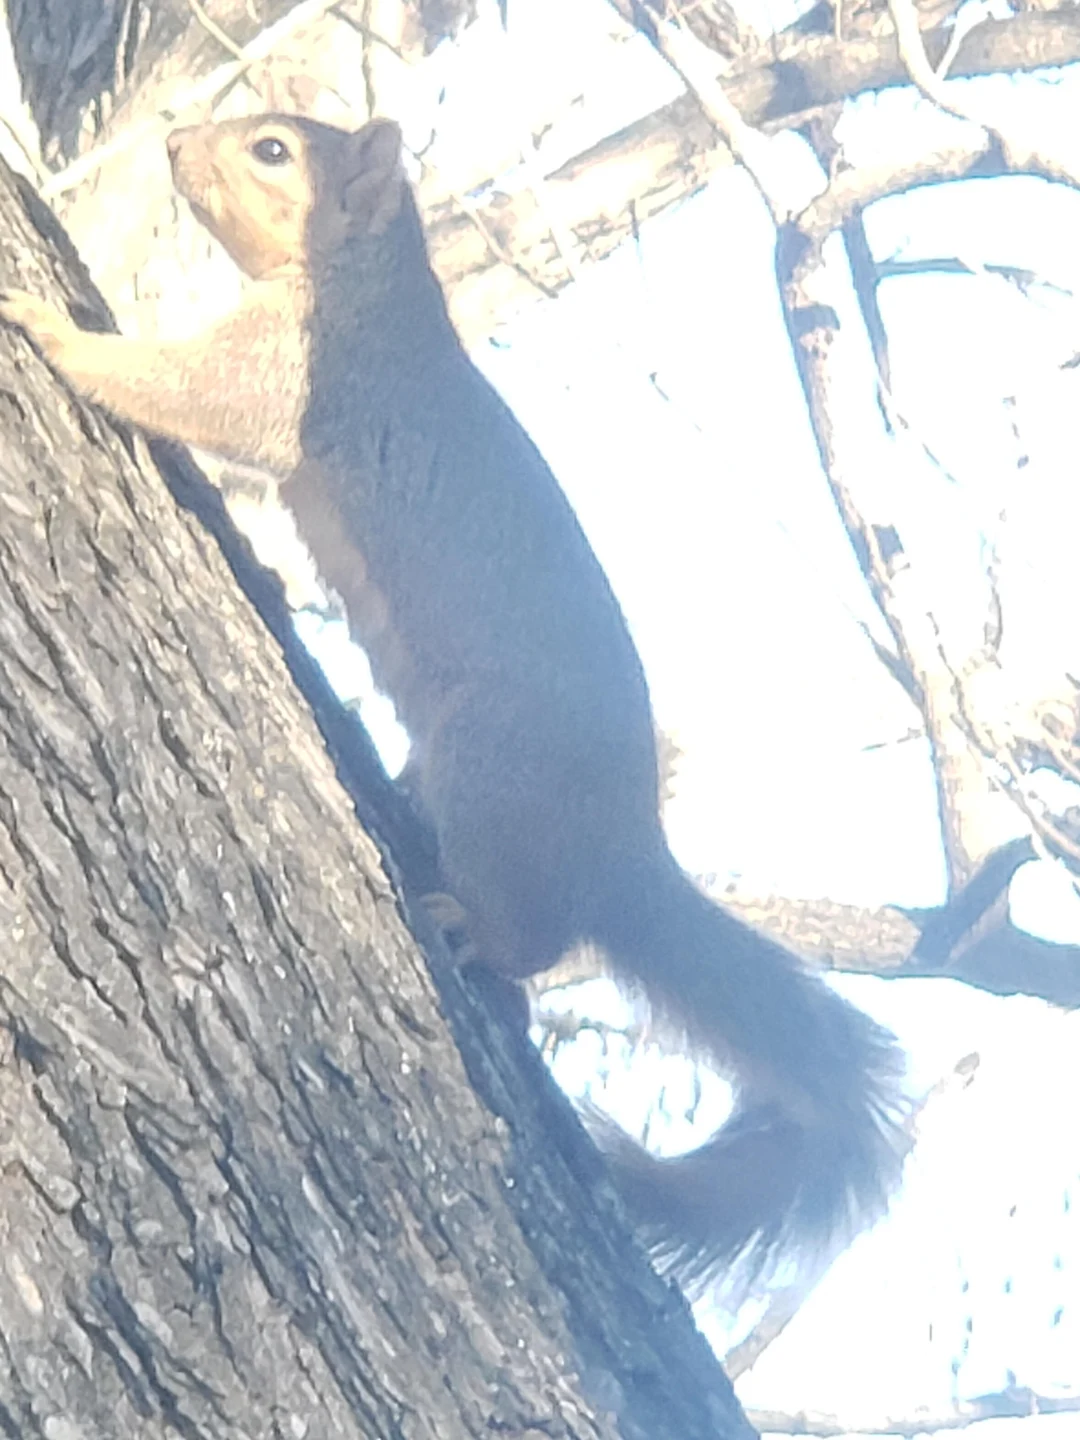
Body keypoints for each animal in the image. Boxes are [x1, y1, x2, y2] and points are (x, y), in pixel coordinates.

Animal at [1, 113, 910, 1295]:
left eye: (273, 150)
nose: (175, 142)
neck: (366, 287)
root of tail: (625, 849)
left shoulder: (299, 374)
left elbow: (195, 393)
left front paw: (48, 326)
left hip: (494, 777)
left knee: (533, 939)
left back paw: (470, 928)